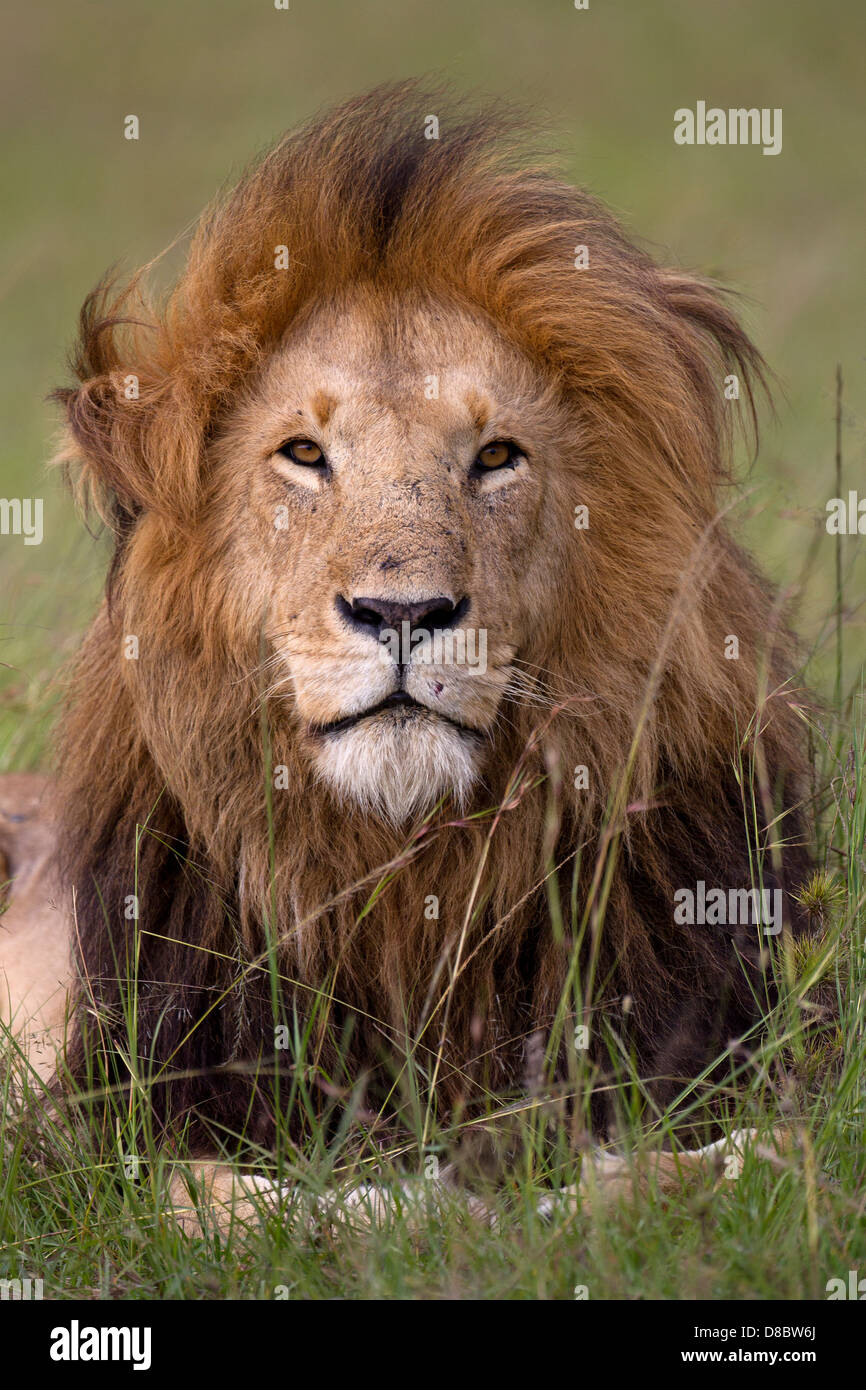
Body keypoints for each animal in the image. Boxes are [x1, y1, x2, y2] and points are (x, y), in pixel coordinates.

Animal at [0, 83, 811, 1221]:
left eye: (496, 456)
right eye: (303, 454)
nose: (401, 611)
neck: (405, 879)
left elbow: (751, 1151)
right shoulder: (96, 1139)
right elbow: (221, 1194)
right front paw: (423, 1203)